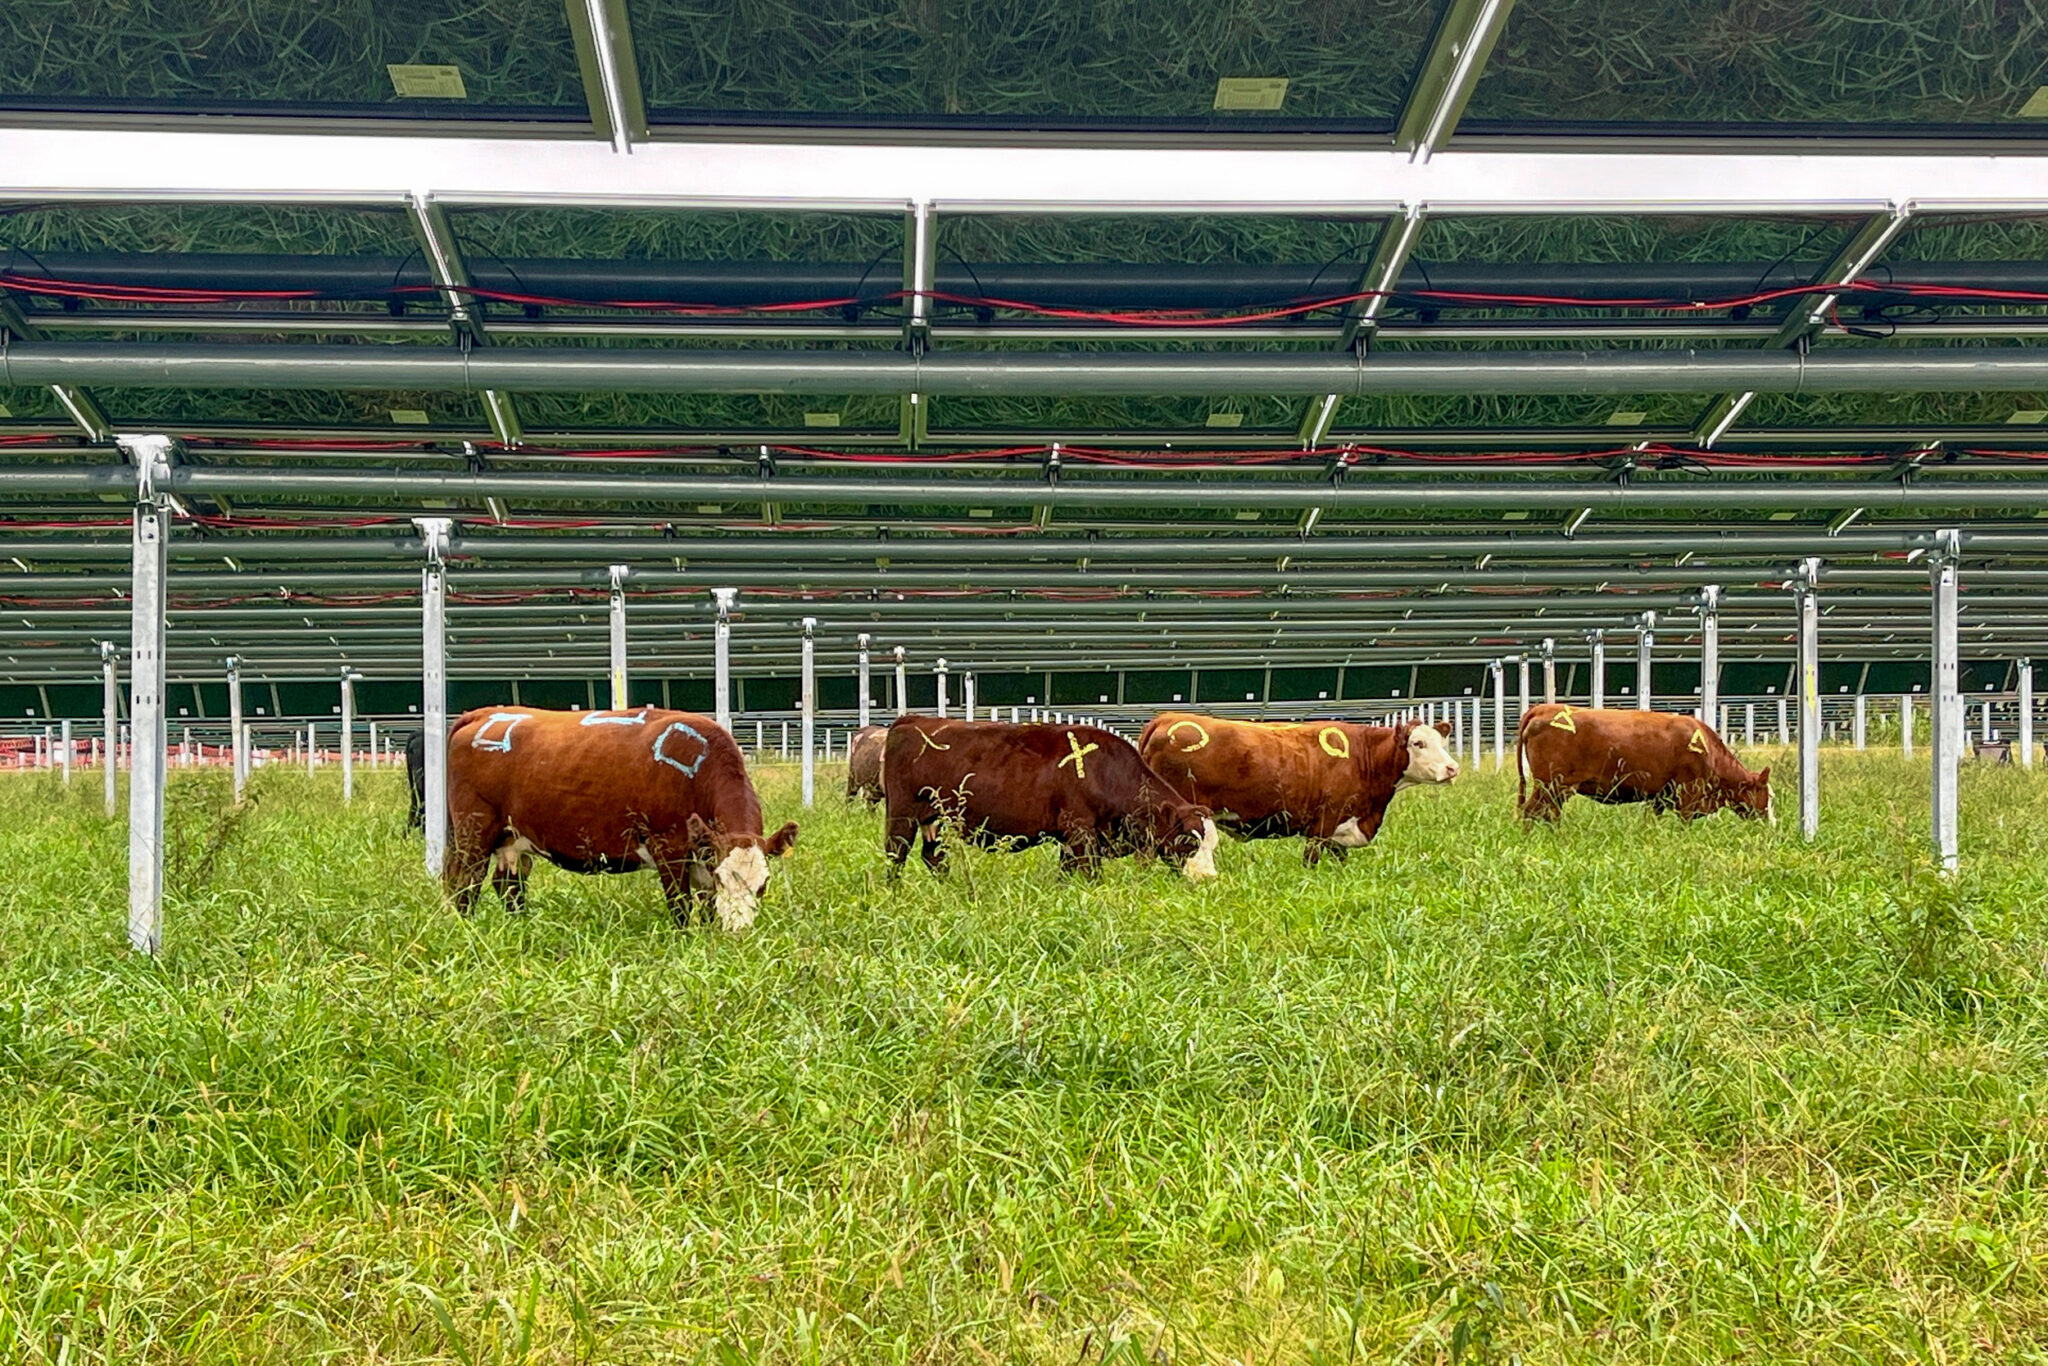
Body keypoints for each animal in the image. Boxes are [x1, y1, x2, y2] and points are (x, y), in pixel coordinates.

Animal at [444, 704, 797, 929]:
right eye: (725, 879)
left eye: (763, 884)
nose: (739, 932)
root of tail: (483, 714)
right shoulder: (668, 846)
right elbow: (681, 907)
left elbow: (708, 908)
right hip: (474, 832)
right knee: (464, 886)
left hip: (512, 837)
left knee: (508, 885)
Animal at [882, 715, 1218, 881]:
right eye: (1188, 841)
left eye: (1212, 845)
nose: (1208, 879)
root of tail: (912, 719)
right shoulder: (1080, 830)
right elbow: (1091, 874)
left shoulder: (1072, 840)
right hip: (902, 813)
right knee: (895, 854)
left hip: (934, 818)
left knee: (933, 857)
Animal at [1139, 713, 1459, 866]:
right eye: (1418, 743)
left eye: (1442, 742)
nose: (1452, 768)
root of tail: (1167, 718)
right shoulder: (1323, 823)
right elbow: (1311, 861)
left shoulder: (1340, 831)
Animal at [1517, 704, 1772, 823]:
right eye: (1767, 795)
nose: (1770, 823)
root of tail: (1543, 708)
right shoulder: (1689, 795)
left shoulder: (1659, 796)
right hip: (1552, 785)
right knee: (1534, 812)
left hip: (1554, 788)